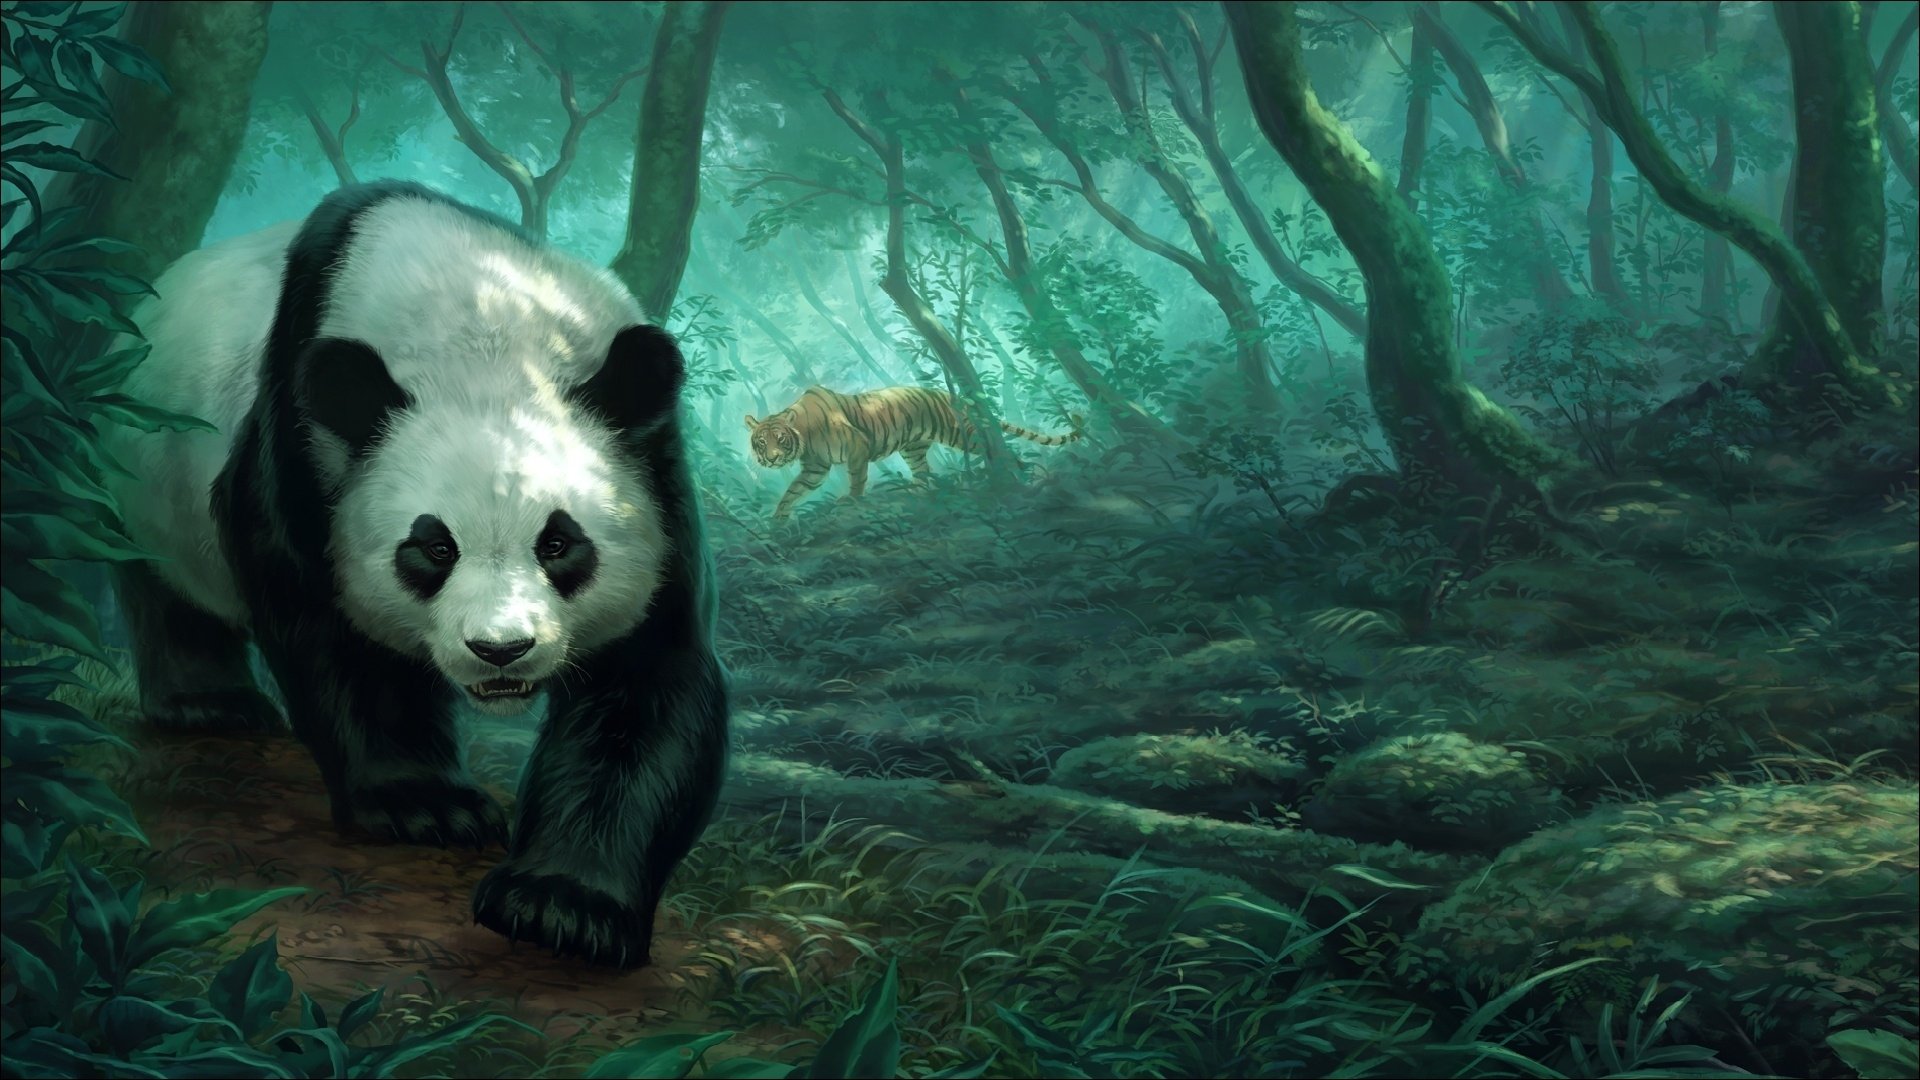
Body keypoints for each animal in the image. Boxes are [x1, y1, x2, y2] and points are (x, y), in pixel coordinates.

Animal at [101, 180, 730, 969]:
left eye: (560, 544)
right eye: (433, 549)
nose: (501, 650)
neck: (485, 328)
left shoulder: (653, 472)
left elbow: (647, 680)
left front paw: (563, 905)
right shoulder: (302, 434)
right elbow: (325, 615)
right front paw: (428, 806)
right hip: (144, 468)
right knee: (164, 589)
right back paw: (208, 704)